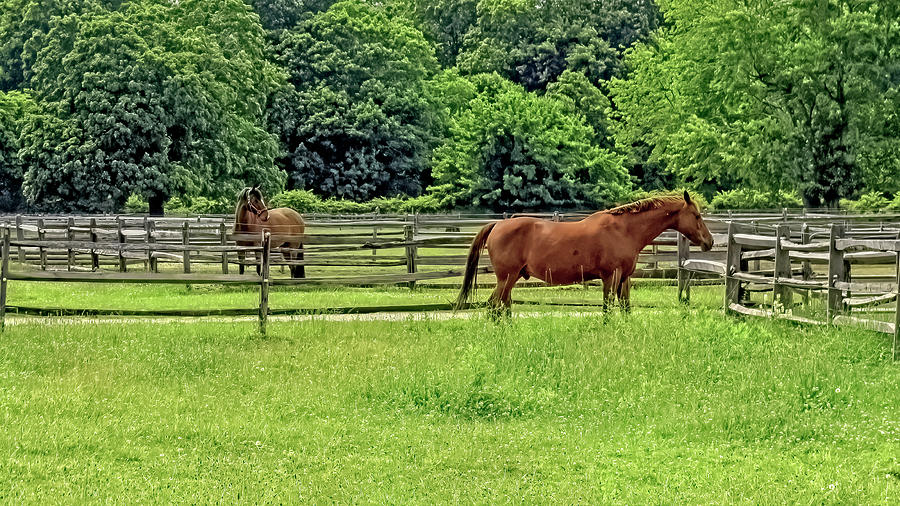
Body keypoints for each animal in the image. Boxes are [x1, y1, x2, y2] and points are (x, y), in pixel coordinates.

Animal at [455, 191, 714, 314]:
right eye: (697, 216)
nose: (709, 242)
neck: (624, 230)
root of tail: (497, 225)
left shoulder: (625, 279)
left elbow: (625, 308)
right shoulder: (611, 277)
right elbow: (608, 308)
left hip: (512, 278)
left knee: (503, 307)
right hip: (506, 278)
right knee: (494, 307)